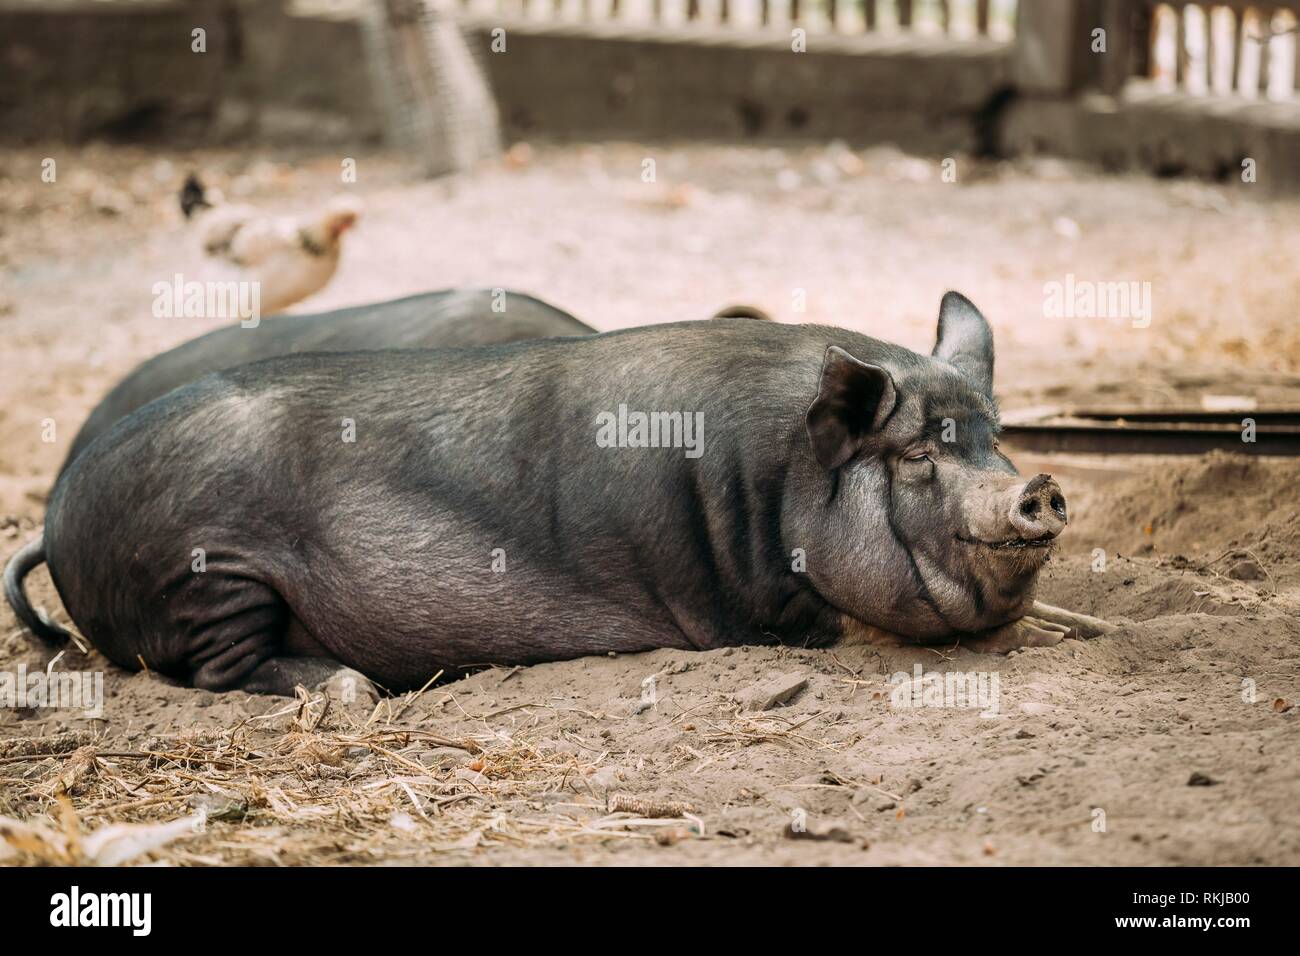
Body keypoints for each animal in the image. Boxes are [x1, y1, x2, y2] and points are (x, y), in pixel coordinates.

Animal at [18, 292, 1111, 697]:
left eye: (994, 434)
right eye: (920, 453)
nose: (1040, 487)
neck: (770, 487)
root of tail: (59, 517)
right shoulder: (748, 607)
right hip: (204, 575)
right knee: (214, 667)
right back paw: (348, 685)